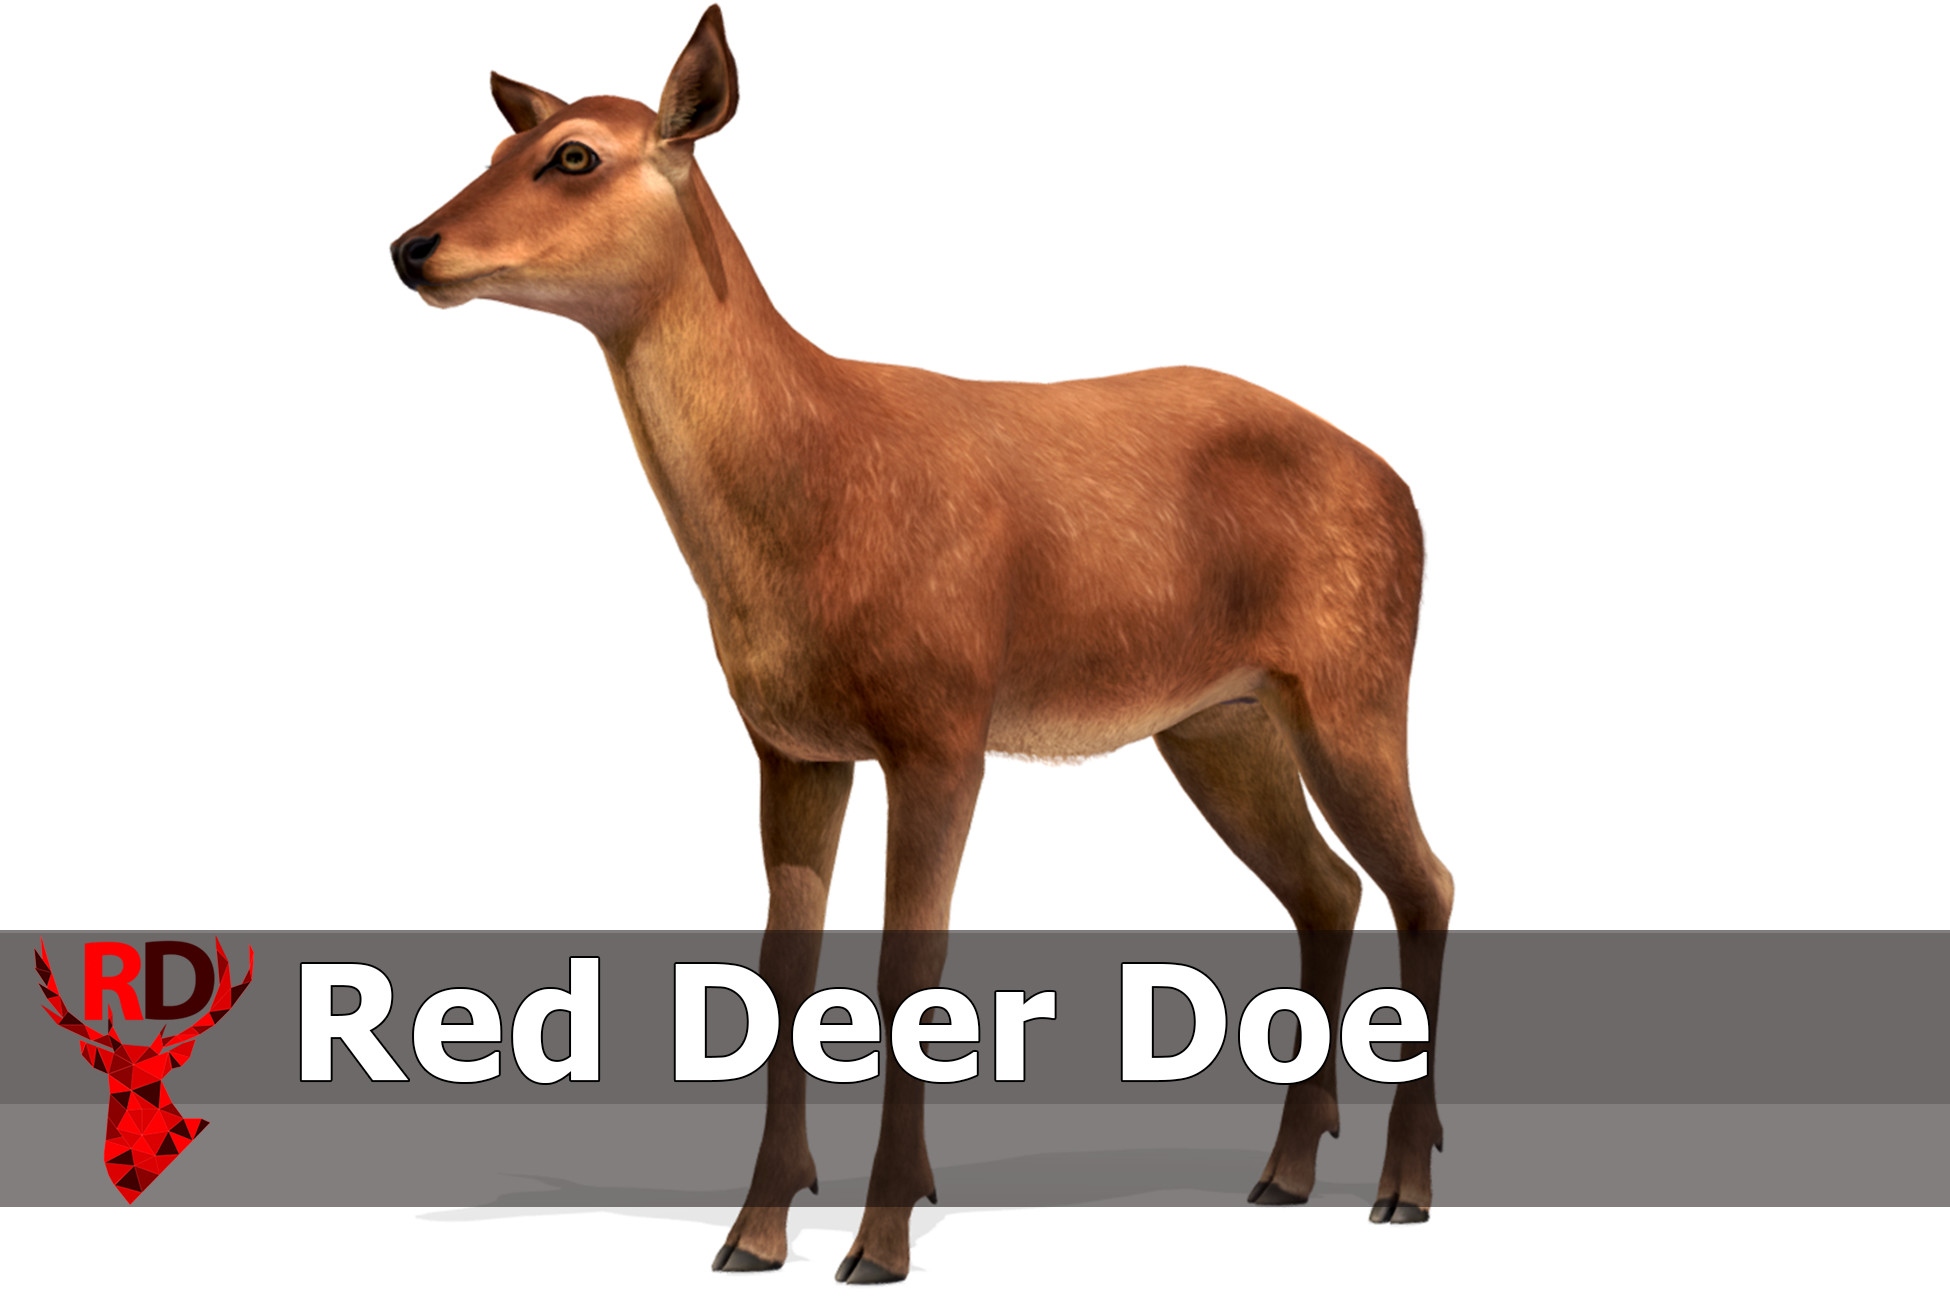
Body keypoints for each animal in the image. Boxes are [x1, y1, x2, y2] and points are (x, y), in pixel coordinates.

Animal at [391, 6, 1453, 1282]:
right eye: (504, 144)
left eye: (576, 156)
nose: (412, 248)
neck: (814, 490)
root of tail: (1403, 492)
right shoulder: (792, 745)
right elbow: (781, 971)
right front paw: (756, 1231)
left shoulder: (942, 723)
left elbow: (910, 967)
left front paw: (880, 1238)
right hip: (1217, 721)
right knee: (1326, 886)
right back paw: (1285, 1170)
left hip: (1353, 678)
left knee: (1424, 879)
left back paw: (1403, 1186)